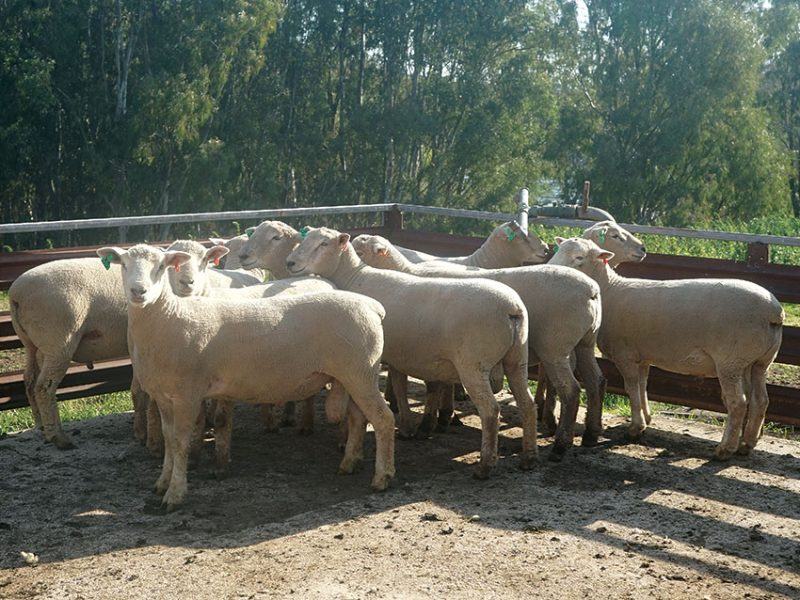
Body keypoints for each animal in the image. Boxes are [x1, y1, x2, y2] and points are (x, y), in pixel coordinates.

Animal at [96, 243, 395, 510]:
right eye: (123, 264)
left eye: (161, 267)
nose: (139, 291)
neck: (169, 318)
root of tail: (372, 307)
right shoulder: (163, 396)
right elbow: (170, 440)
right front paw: (162, 482)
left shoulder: (187, 395)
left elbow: (181, 442)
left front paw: (175, 494)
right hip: (353, 375)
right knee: (358, 418)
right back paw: (349, 462)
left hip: (360, 372)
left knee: (383, 418)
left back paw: (382, 477)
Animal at [285, 226, 539, 478]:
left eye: (324, 244)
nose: (290, 262)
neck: (355, 276)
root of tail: (512, 308)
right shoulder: (398, 354)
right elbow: (399, 385)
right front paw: (408, 427)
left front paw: (345, 439)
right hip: (517, 359)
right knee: (527, 403)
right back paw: (528, 457)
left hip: (473, 366)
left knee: (490, 411)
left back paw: (485, 466)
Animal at [351, 233, 604, 458]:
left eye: (359, 251)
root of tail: (592, 291)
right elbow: (440, 383)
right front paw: (444, 417)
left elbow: (430, 384)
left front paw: (432, 420)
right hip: (583, 344)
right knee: (595, 381)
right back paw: (589, 435)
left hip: (555, 347)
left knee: (571, 390)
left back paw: (560, 445)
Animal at [548, 236, 784, 459]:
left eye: (579, 258)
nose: (549, 269)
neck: (610, 288)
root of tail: (774, 311)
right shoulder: (642, 356)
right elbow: (642, 386)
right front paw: (646, 418)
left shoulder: (625, 354)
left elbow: (631, 387)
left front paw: (635, 428)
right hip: (758, 362)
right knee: (760, 400)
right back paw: (747, 444)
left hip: (730, 361)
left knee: (738, 403)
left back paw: (725, 449)